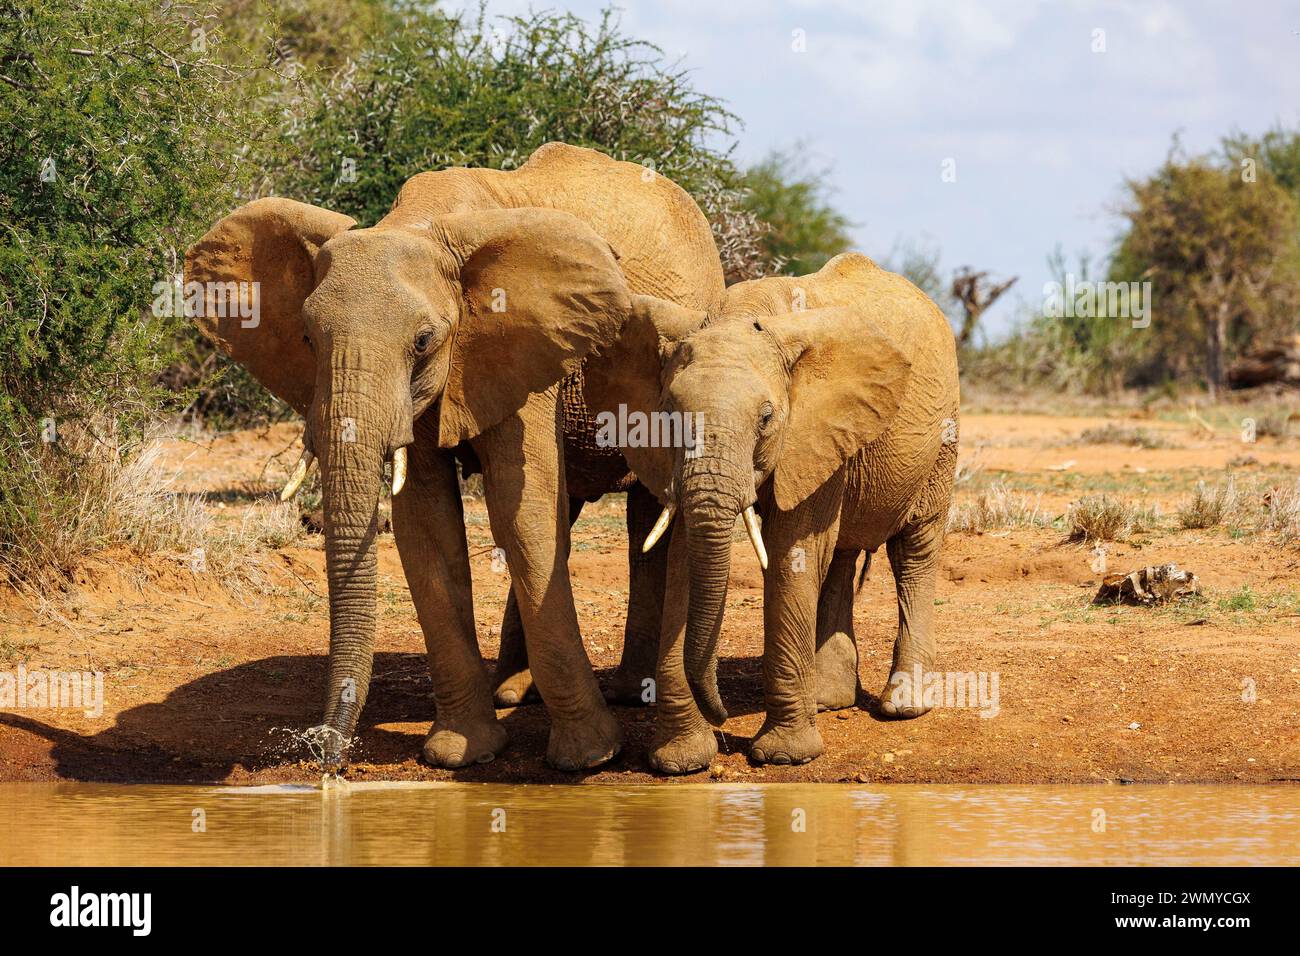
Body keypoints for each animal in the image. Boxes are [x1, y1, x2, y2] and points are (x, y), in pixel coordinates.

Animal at [185, 142, 723, 771]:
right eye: (309, 341)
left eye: (423, 342)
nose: (323, 756)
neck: (422, 222)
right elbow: (427, 525)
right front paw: (459, 754)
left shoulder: (524, 345)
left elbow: (523, 517)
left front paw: (588, 757)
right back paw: (514, 691)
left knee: (640, 512)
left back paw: (629, 695)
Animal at [585, 252, 960, 773]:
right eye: (669, 417)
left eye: (765, 419)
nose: (721, 716)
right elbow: (683, 556)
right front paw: (681, 762)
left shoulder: (814, 426)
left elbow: (790, 550)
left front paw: (784, 758)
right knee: (840, 556)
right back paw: (827, 700)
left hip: (942, 436)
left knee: (914, 552)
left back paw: (903, 706)